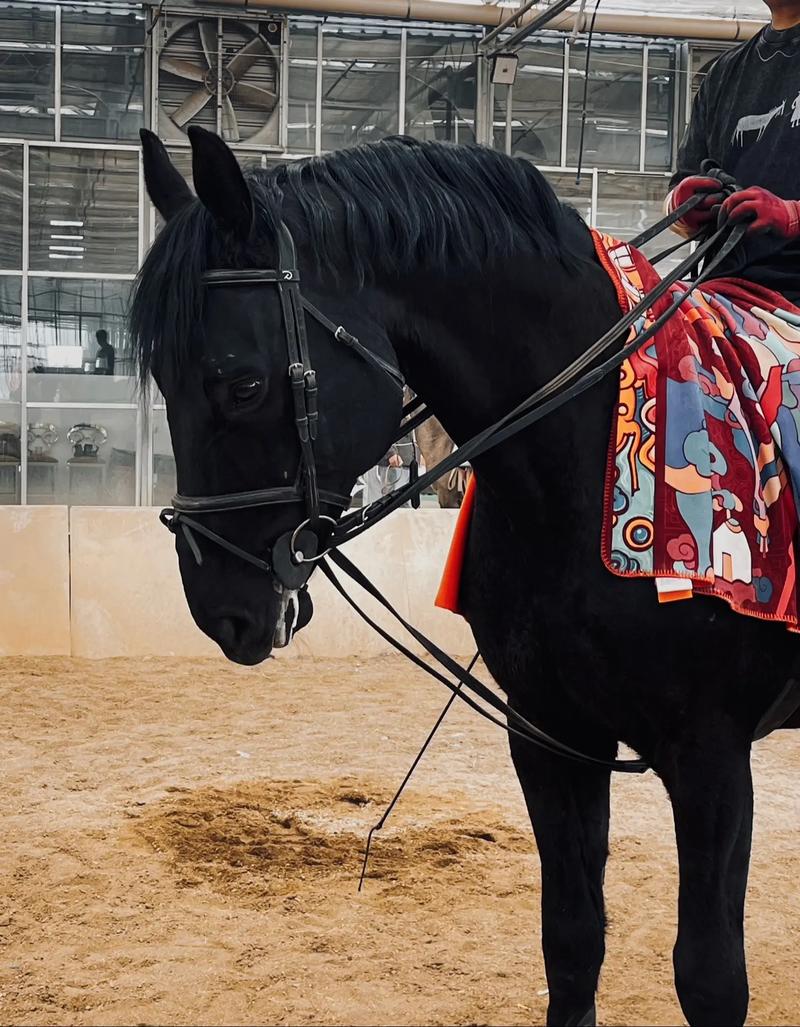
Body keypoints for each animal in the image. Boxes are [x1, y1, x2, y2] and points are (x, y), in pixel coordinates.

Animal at [132, 126, 799, 1027]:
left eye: (241, 383)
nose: (218, 607)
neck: (584, 459)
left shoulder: (712, 756)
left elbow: (710, 978)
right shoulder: (550, 732)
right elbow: (571, 943)